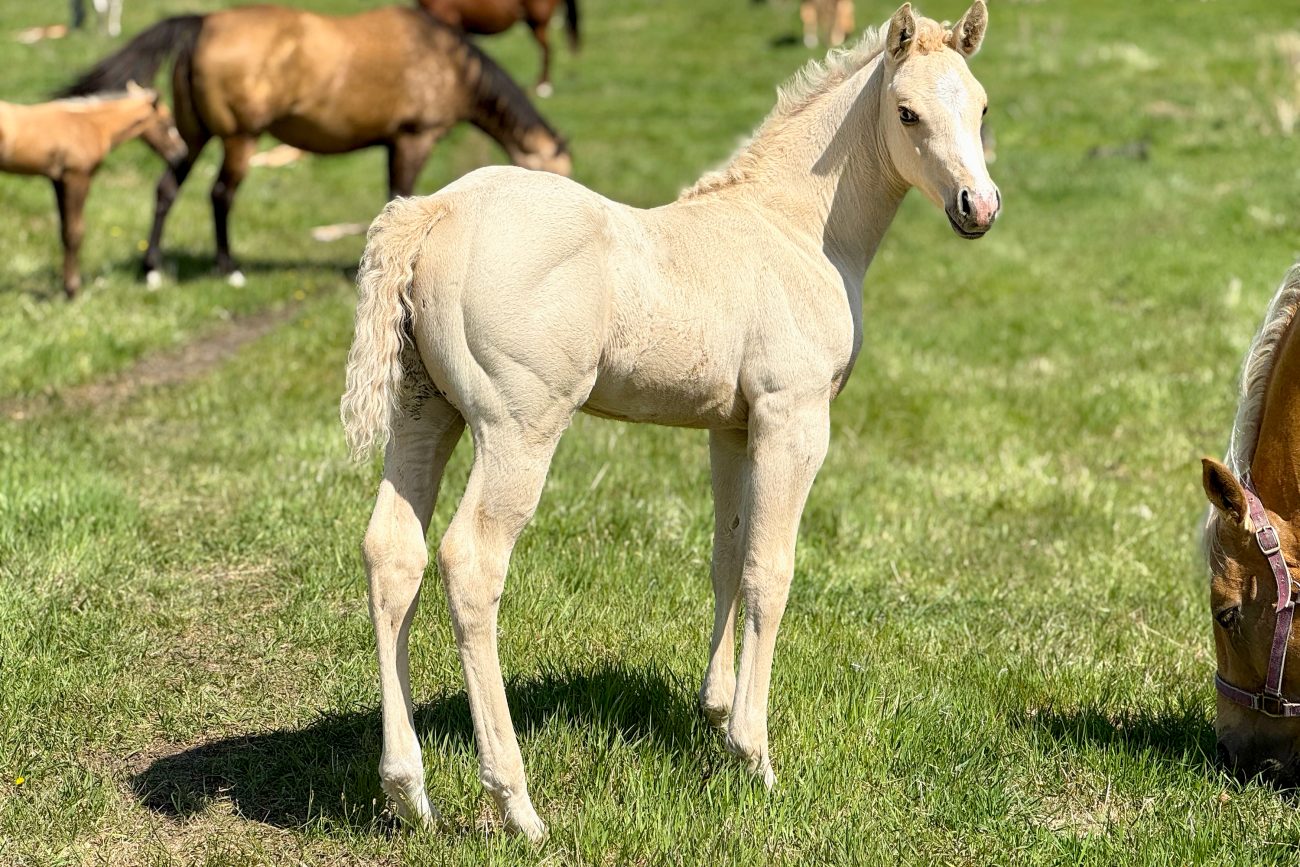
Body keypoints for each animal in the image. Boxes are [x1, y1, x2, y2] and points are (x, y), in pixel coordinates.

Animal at [0, 83, 186, 299]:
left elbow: (64, 231)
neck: (90, 125)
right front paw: (72, 290)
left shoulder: (58, 180)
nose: (181, 154)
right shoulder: (77, 177)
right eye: (167, 122)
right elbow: (75, 233)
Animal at [58, 5, 570, 289]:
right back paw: (229, 269)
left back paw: (152, 271)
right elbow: (401, 196)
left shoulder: (394, 143)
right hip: (240, 139)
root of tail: (204, 22)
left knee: (166, 189)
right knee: (221, 195)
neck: (447, 60)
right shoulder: (414, 139)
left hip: (191, 135)